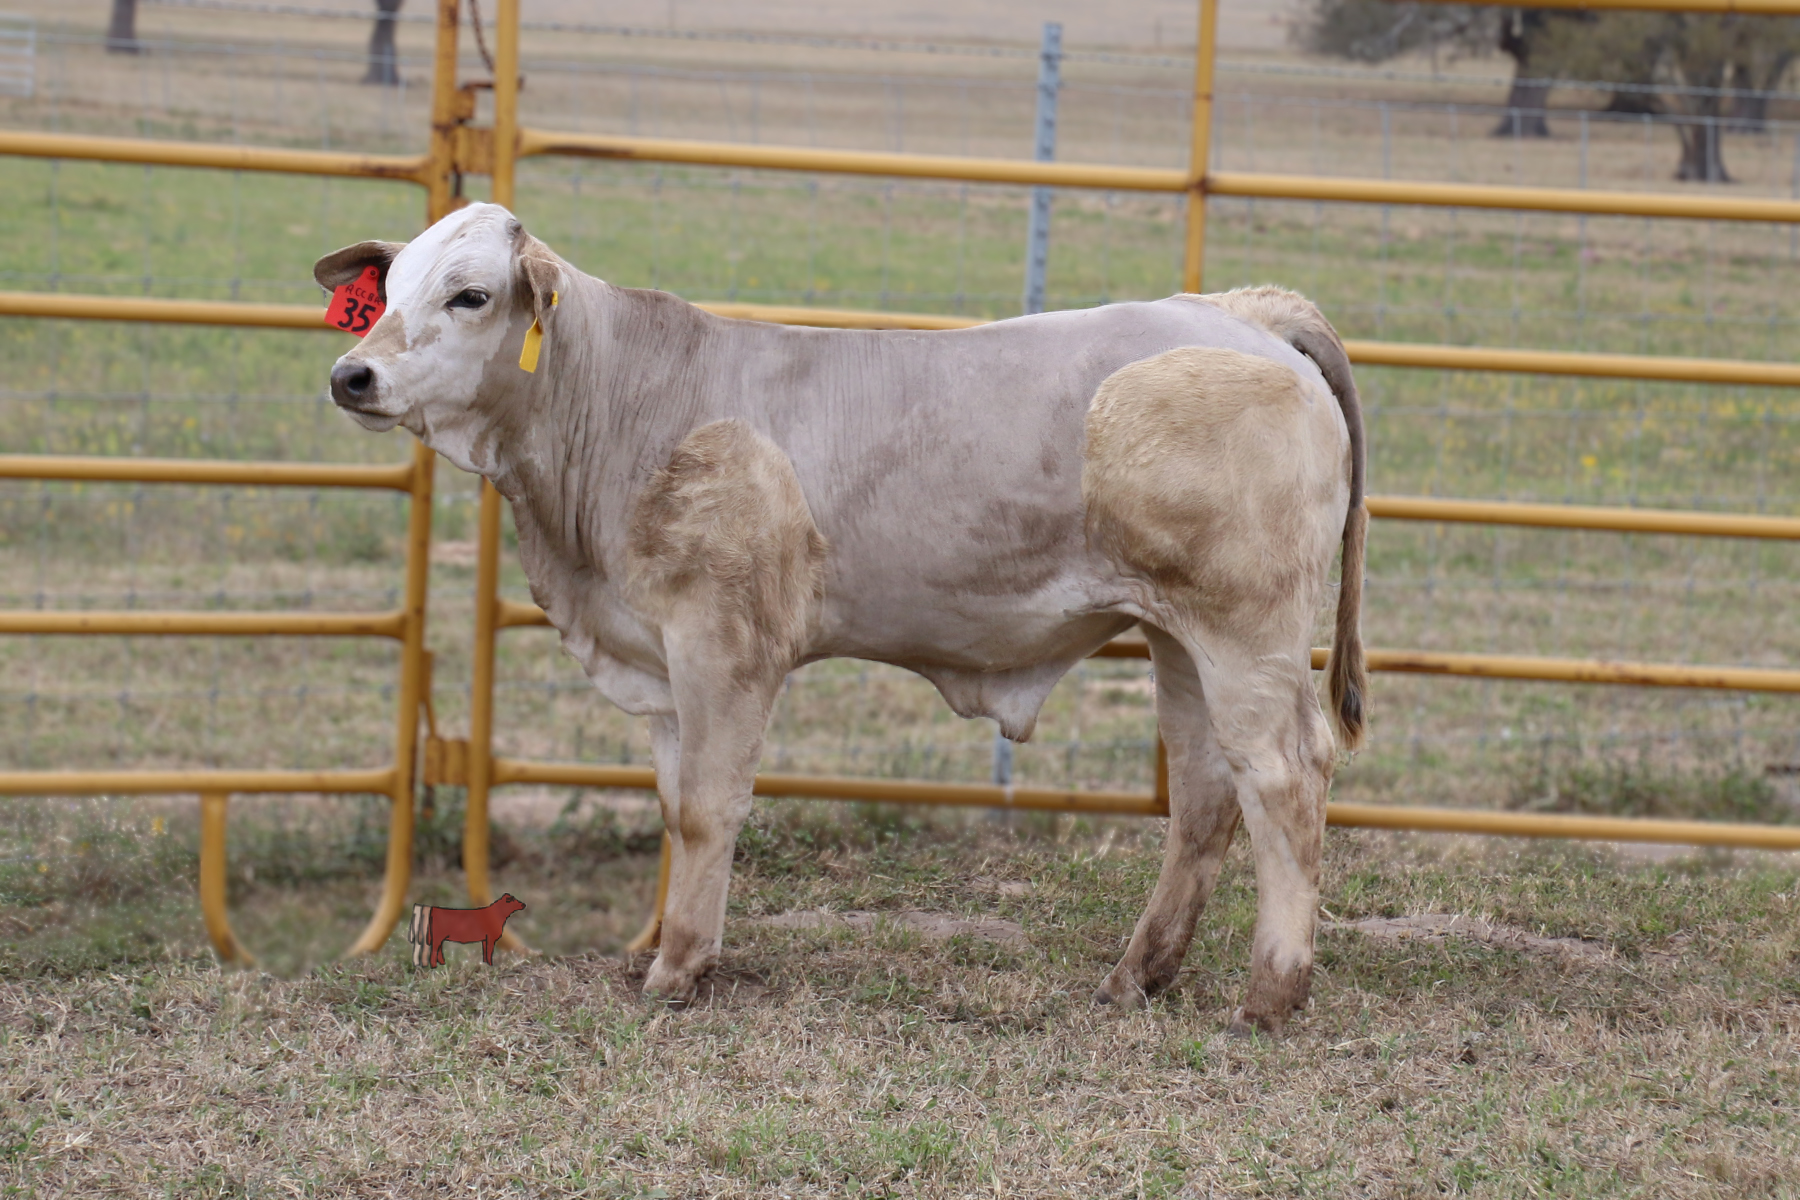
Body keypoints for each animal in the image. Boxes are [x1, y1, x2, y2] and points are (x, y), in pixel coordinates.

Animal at [317, 202, 1366, 1034]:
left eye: (469, 294)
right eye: (390, 286)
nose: (350, 376)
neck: (627, 411)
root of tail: (1238, 310)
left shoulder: (724, 649)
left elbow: (707, 809)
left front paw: (677, 971)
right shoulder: (660, 666)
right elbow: (672, 807)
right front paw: (670, 952)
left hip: (1247, 634)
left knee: (1286, 776)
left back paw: (1271, 994)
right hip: (1178, 639)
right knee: (1204, 795)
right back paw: (1136, 976)